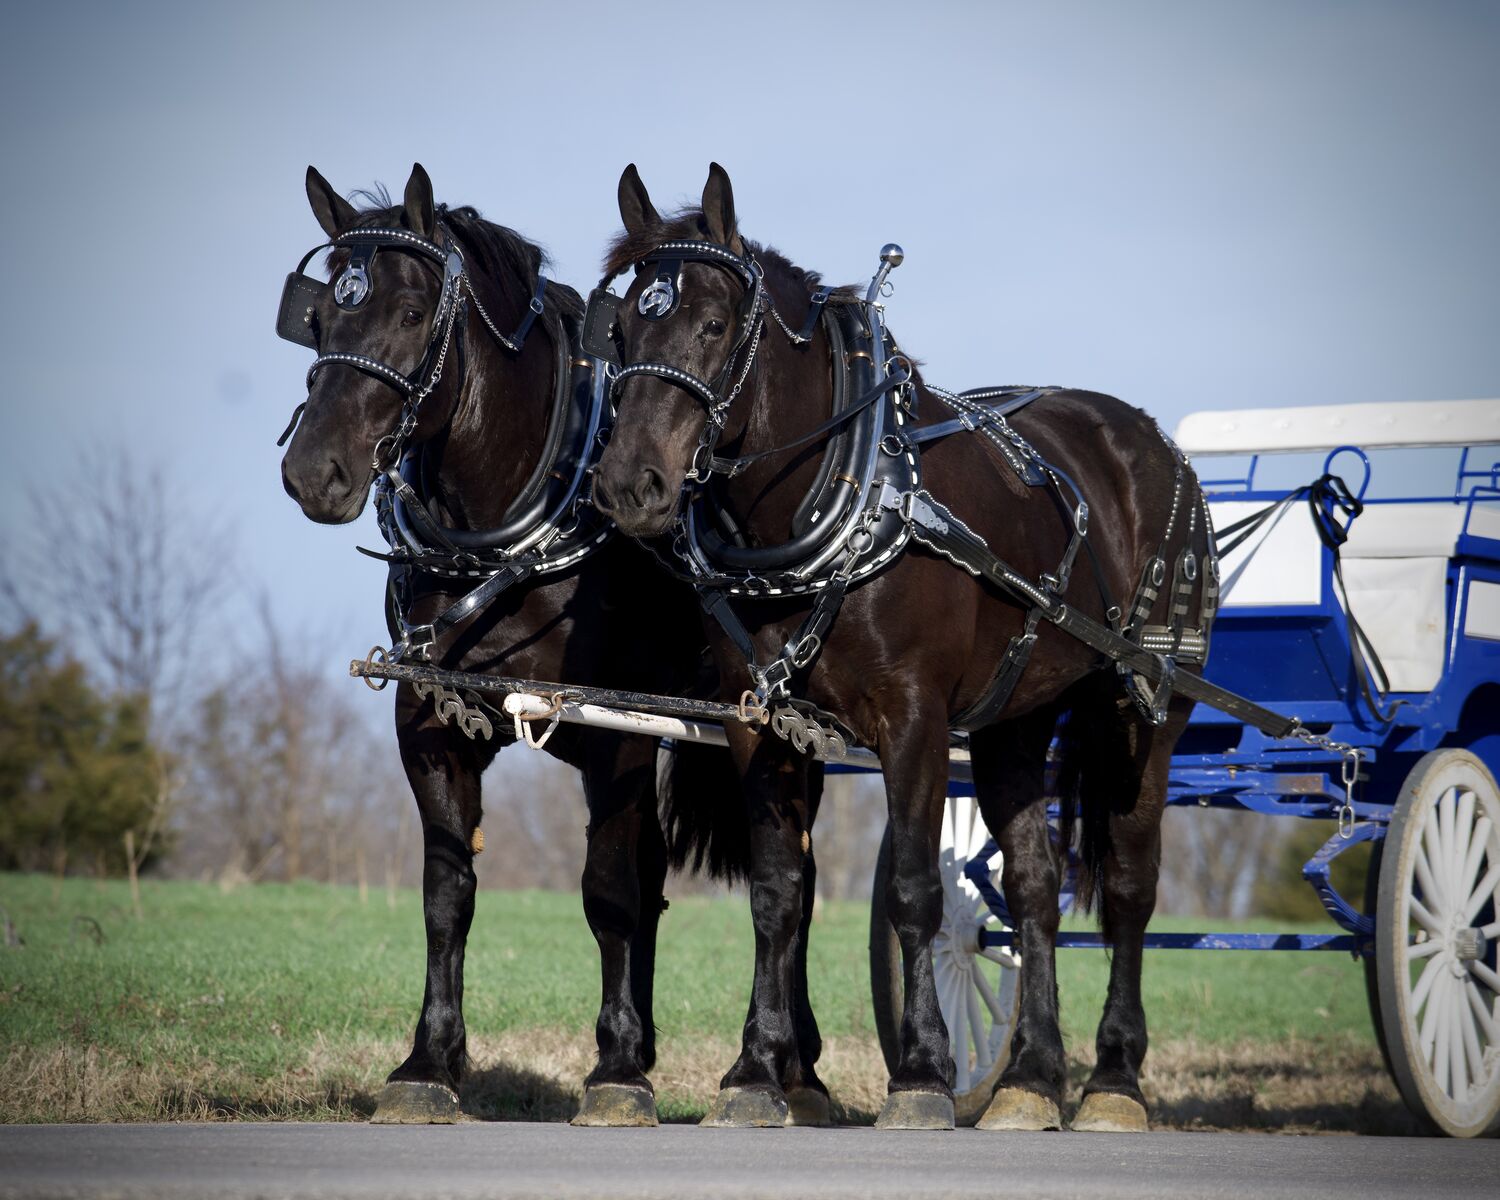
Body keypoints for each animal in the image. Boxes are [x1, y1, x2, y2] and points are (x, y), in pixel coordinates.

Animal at [278, 163, 829, 1127]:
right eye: (319, 318)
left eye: (413, 312)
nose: (315, 471)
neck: (516, 532)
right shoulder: (428, 720)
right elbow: (447, 892)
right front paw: (429, 1062)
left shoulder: (616, 733)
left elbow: (607, 894)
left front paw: (614, 1076)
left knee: (788, 870)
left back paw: (795, 1067)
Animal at [591, 163, 1214, 1132]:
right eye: (622, 327)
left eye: (714, 325)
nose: (630, 484)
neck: (849, 491)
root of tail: (1156, 446)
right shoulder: (757, 722)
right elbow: (778, 894)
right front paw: (756, 1071)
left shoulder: (913, 720)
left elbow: (918, 889)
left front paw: (921, 1069)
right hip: (1011, 722)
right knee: (1033, 884)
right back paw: (1031, 1077)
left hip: (1146, 708)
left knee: (1128, 887)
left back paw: (1113, 1078)